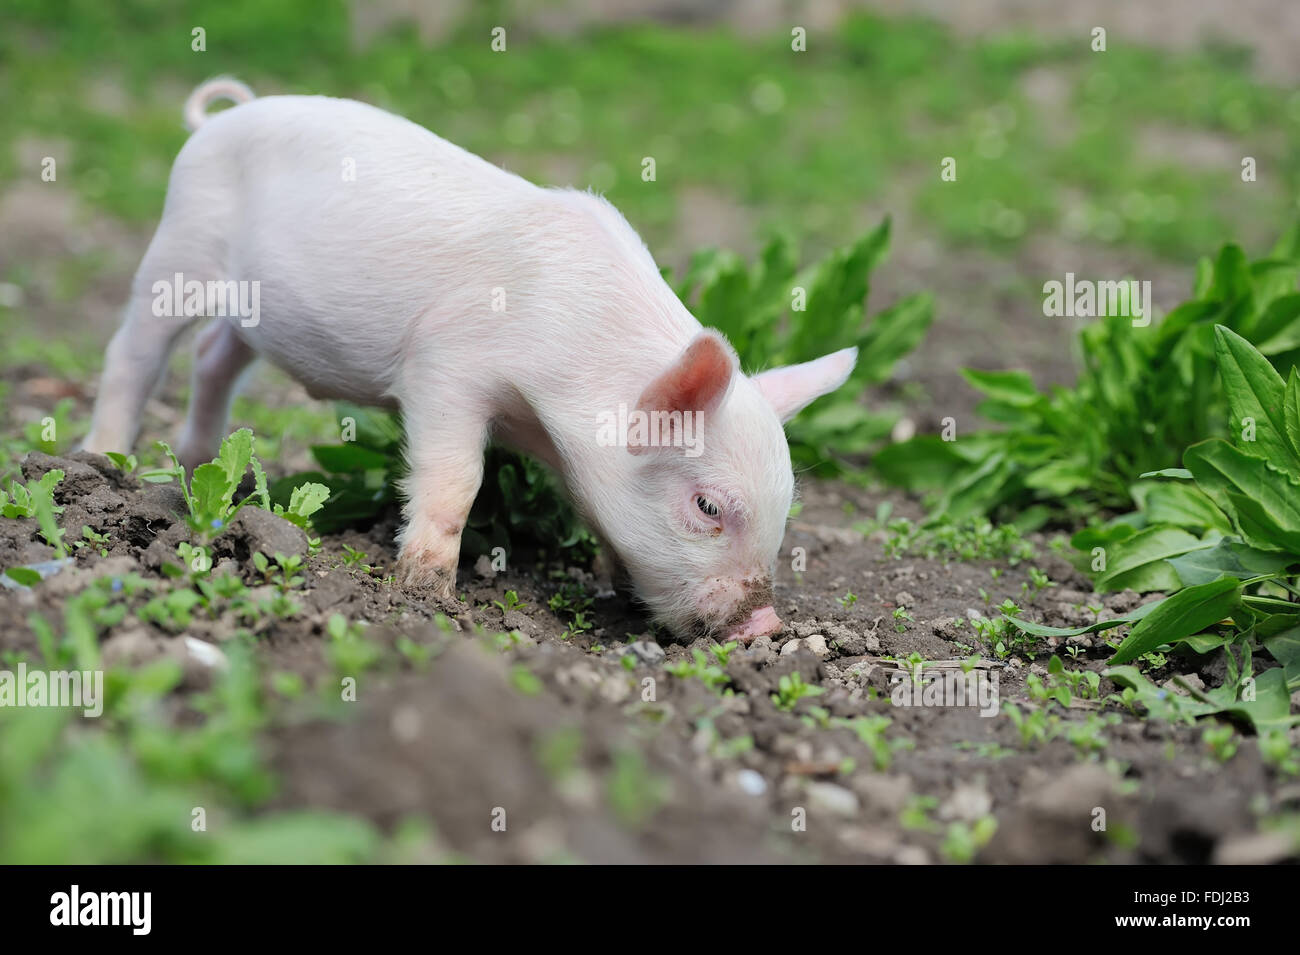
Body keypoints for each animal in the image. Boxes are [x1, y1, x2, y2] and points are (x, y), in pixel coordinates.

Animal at [83, 79, 858, 644]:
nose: (766, 623)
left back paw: (196, 463)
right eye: (708, 506)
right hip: (180, 249)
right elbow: (456, 478)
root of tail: (222, 118)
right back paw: (106, 461)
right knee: (133, 350)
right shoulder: (444, 368)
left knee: (214, 355)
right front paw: (425, 592)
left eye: (785, 506)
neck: (549, 408)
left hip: (251, 312)